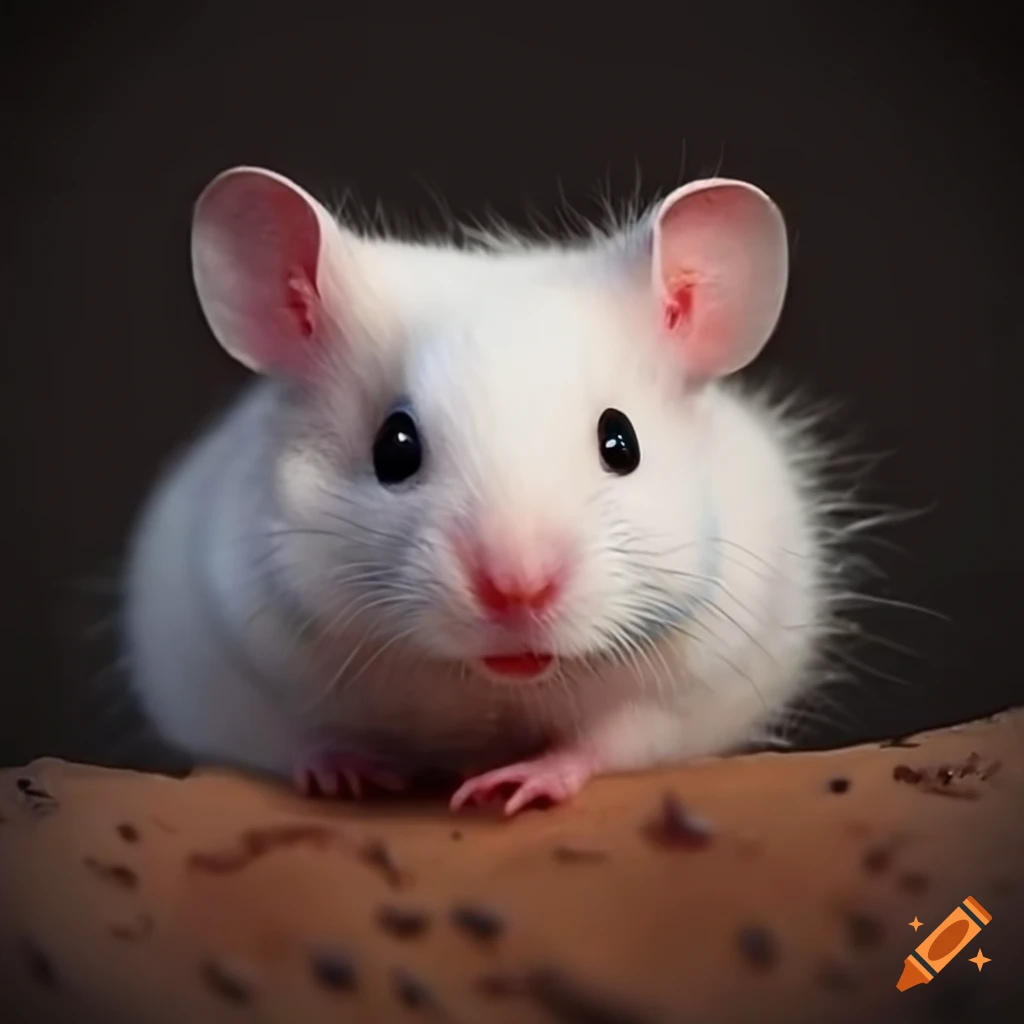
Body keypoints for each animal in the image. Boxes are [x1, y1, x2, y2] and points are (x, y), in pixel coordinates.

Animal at [123, 165, 842, 816]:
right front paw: (351, 774)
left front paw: (512, 785)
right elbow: (300, 736)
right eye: (394, 447)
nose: (517, 591)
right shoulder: (240, 657)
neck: (487, 682)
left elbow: (609, 739)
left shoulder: (687, 691)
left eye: (621, 443)